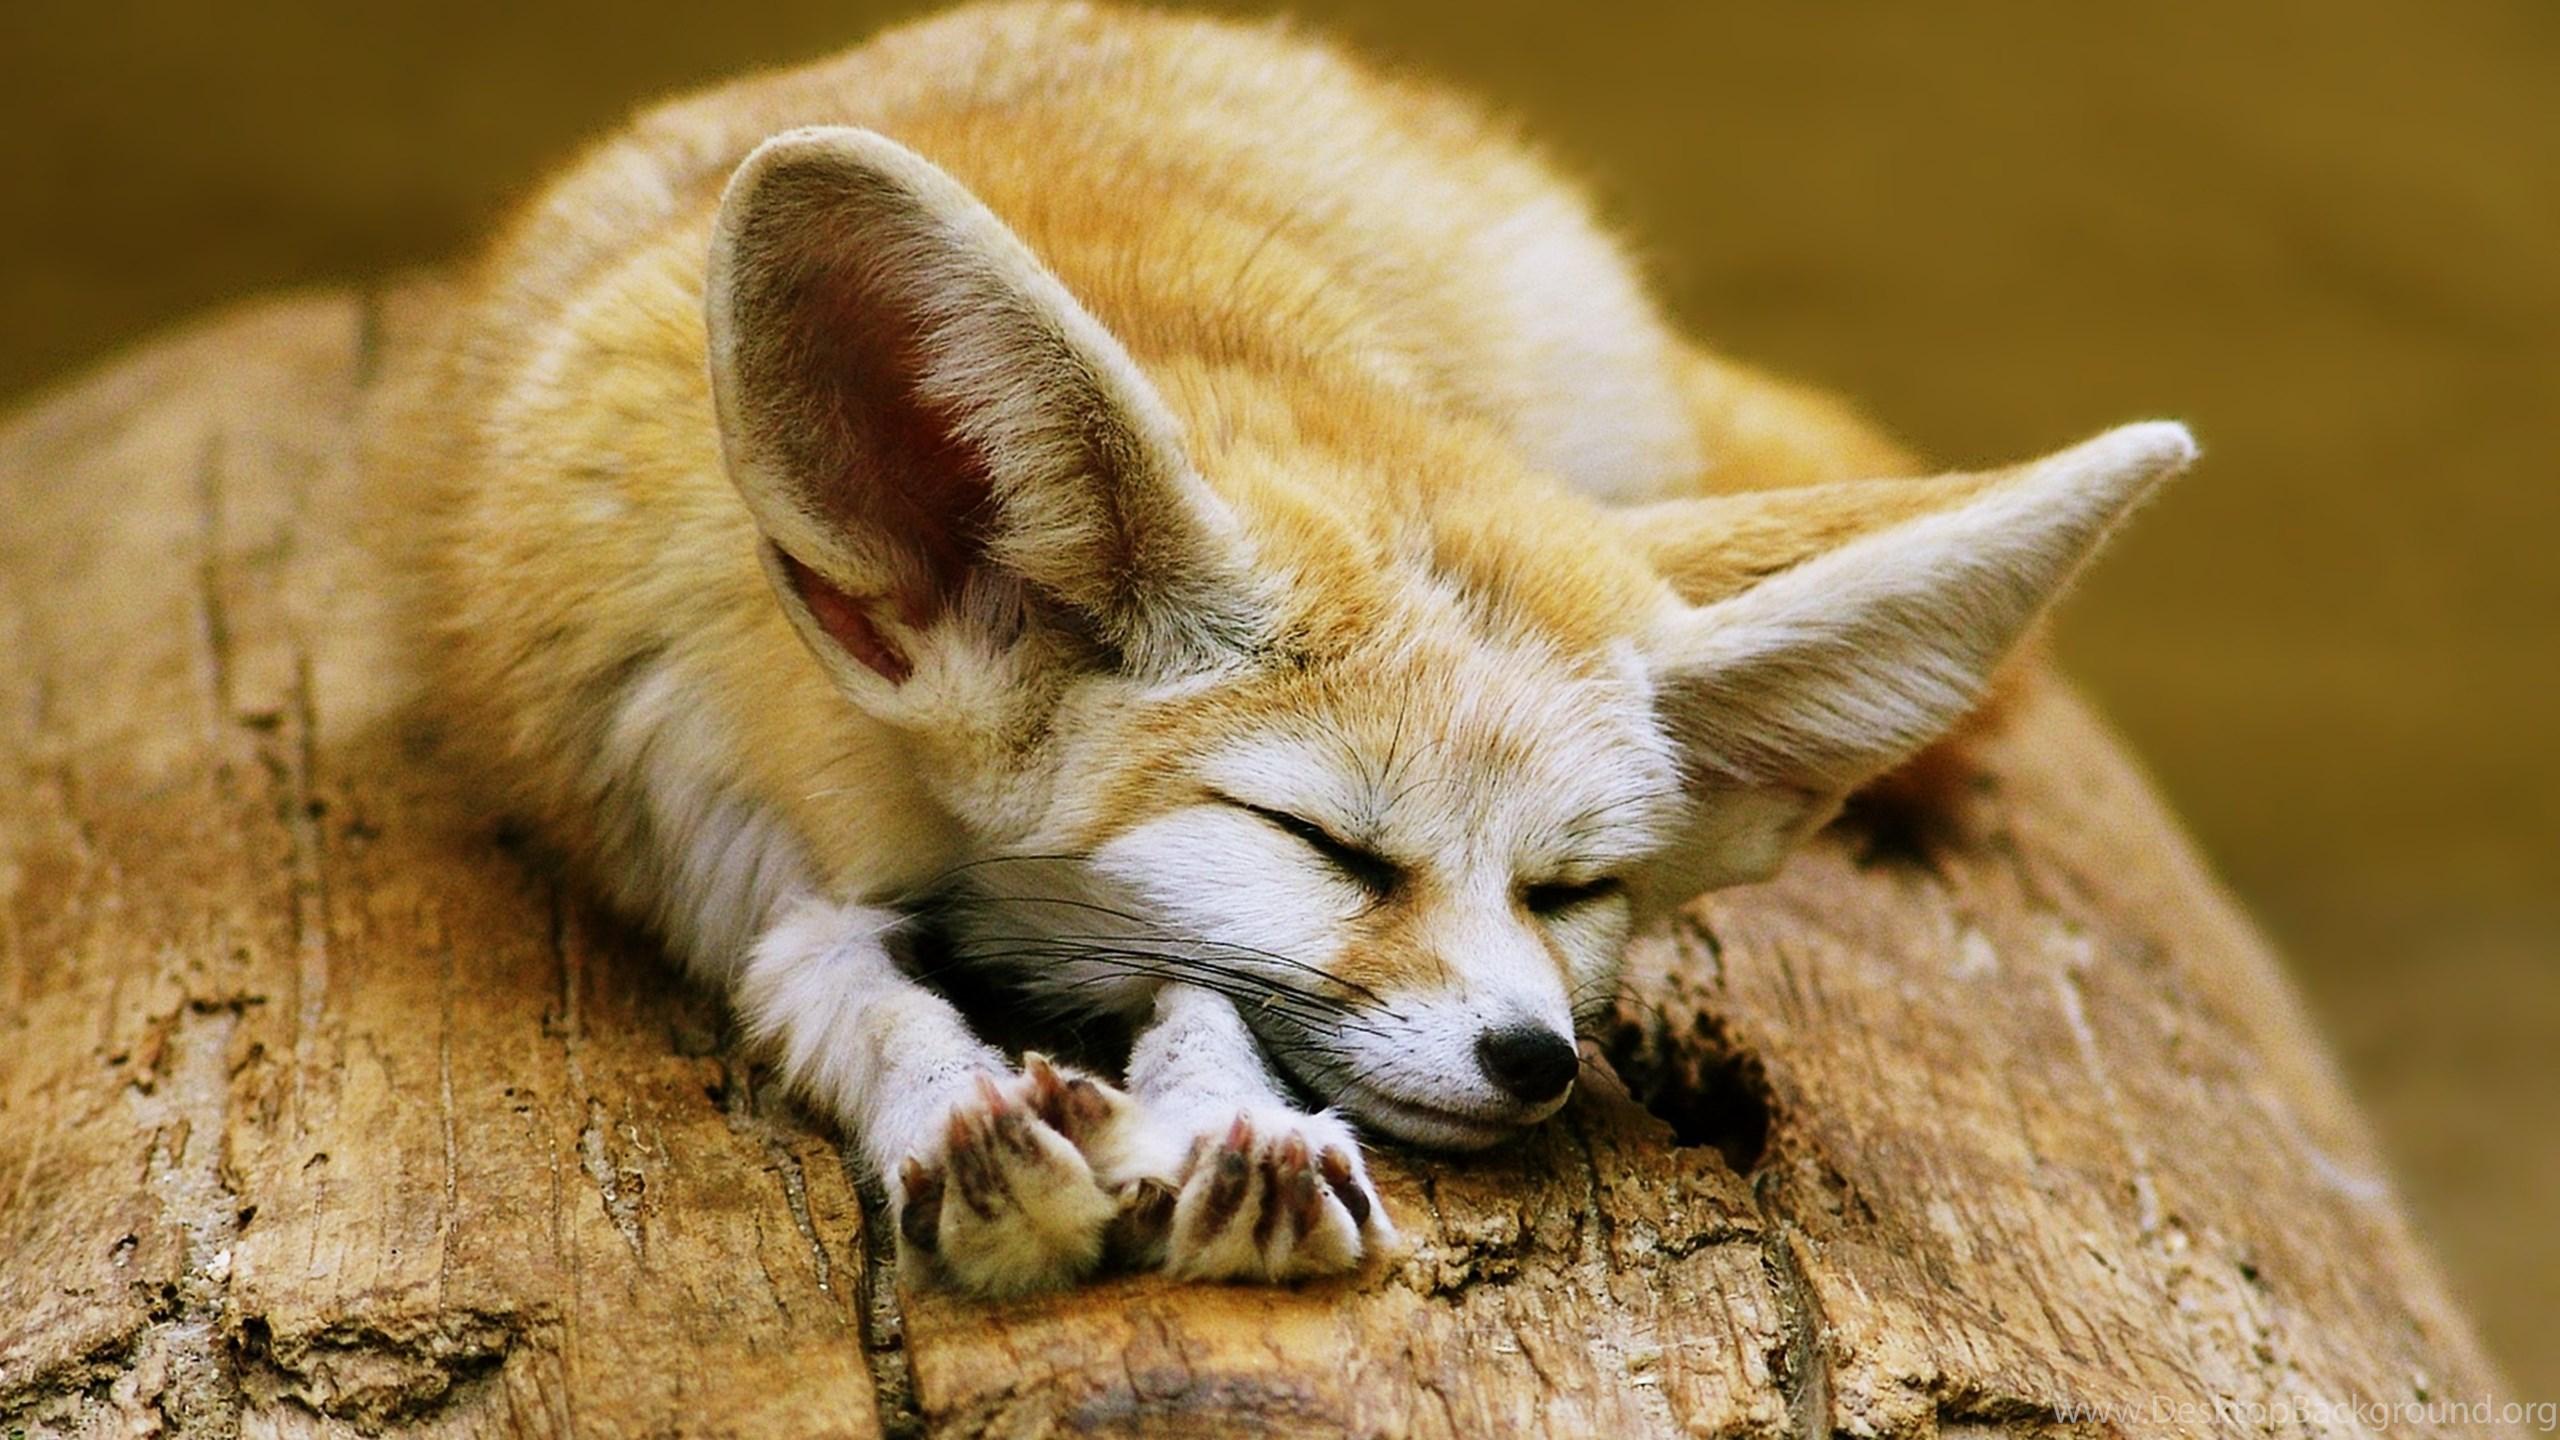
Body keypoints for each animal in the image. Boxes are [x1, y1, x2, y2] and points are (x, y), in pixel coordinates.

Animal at [376, 0, 2194, 1298]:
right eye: (1325, 845)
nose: (1535, 1055)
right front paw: (964, 1119)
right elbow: (824, 975)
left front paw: (1234, 1121)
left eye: (1576, 891)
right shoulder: (699, 820)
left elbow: (1210, 985)